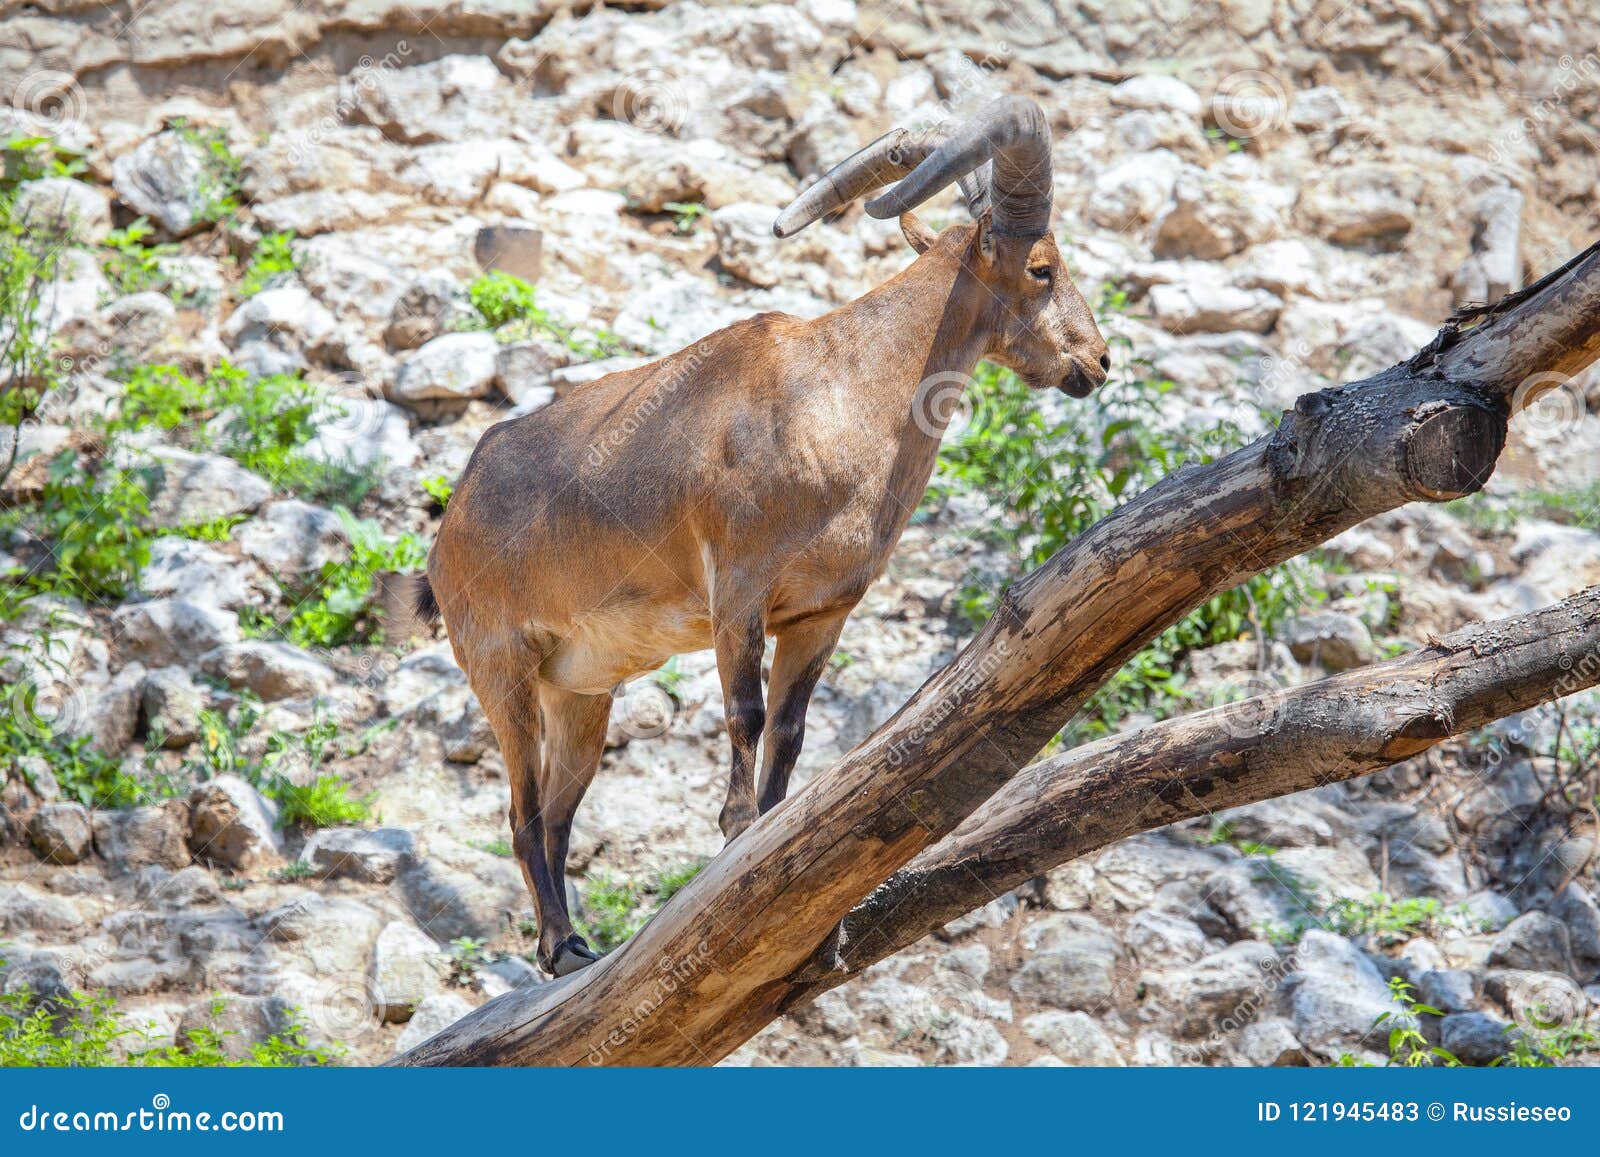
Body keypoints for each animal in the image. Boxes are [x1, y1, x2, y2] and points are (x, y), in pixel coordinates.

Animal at [419, 97, 1111, 976]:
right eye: (1043, 267)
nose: (1098, 359)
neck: (838, 394)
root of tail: (449, 528)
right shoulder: (739, 592)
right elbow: (745, 715)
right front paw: (737, 834)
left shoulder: (820, 614)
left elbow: (790, 729)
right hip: (500, 668)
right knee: (522, 810)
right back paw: (562, 948)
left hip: (579, 692)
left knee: (558, 812)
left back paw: (571, 939)